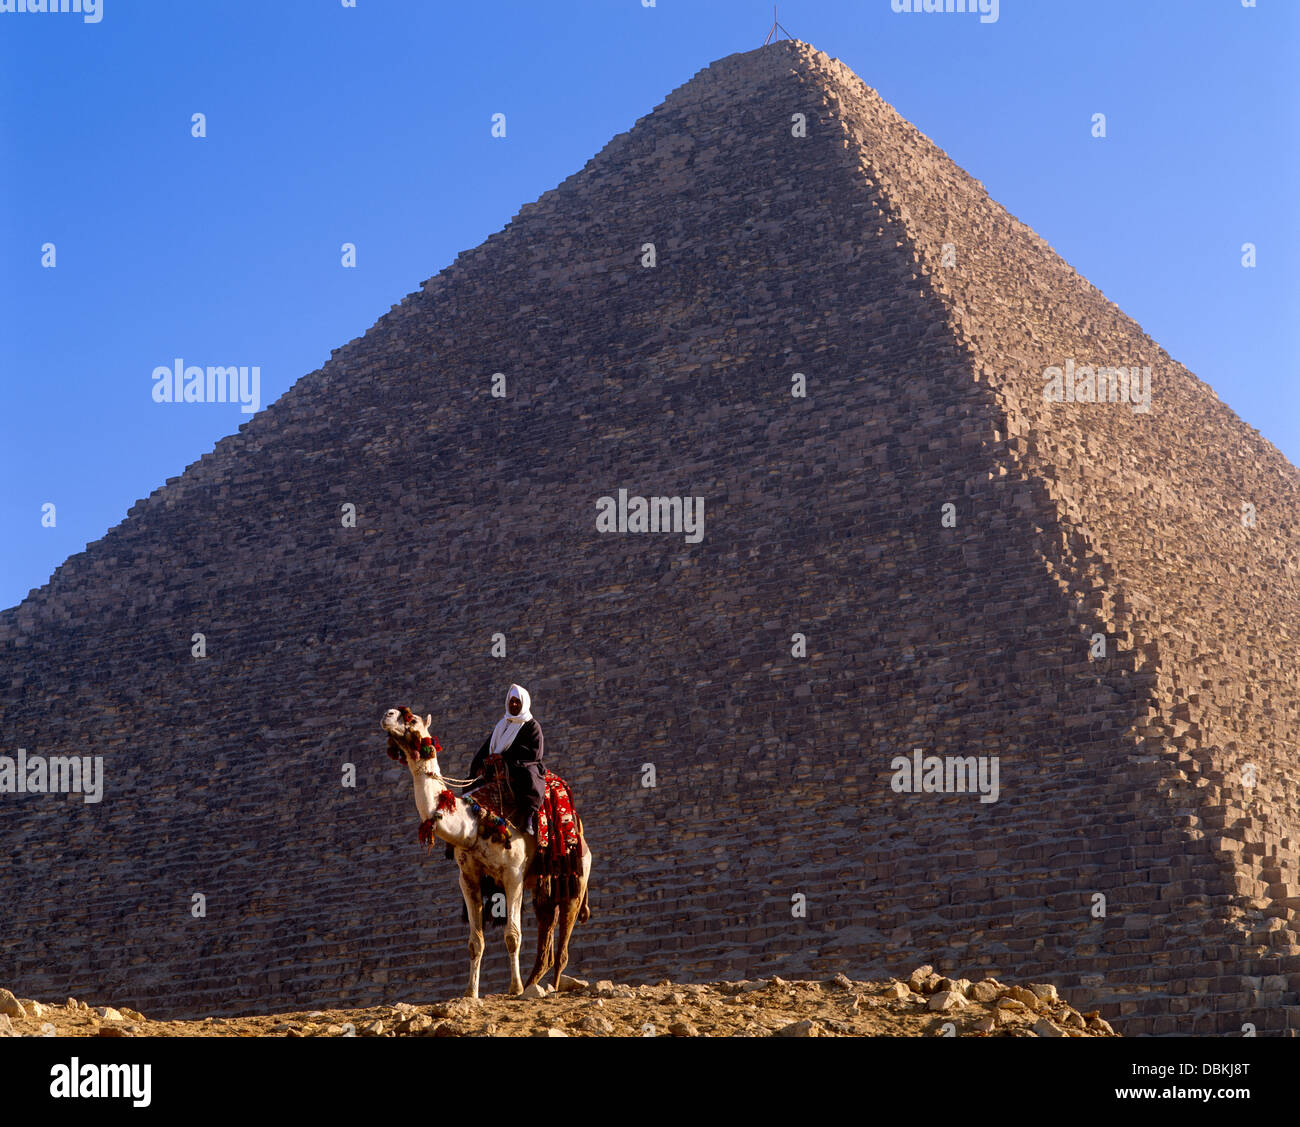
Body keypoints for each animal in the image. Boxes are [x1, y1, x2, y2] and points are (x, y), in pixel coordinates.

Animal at [380, 706, 592, 998]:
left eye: (411, 719)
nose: (387, 714)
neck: (472, 821)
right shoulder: (468, 878)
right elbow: (475, 942)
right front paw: (471, 992)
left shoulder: (513, 875)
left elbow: (512, 935)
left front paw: (514, 987)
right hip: (543, 886)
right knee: (546, 929)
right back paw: (533, 983)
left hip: (576, 877)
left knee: (562, 943)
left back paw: (551, 987)